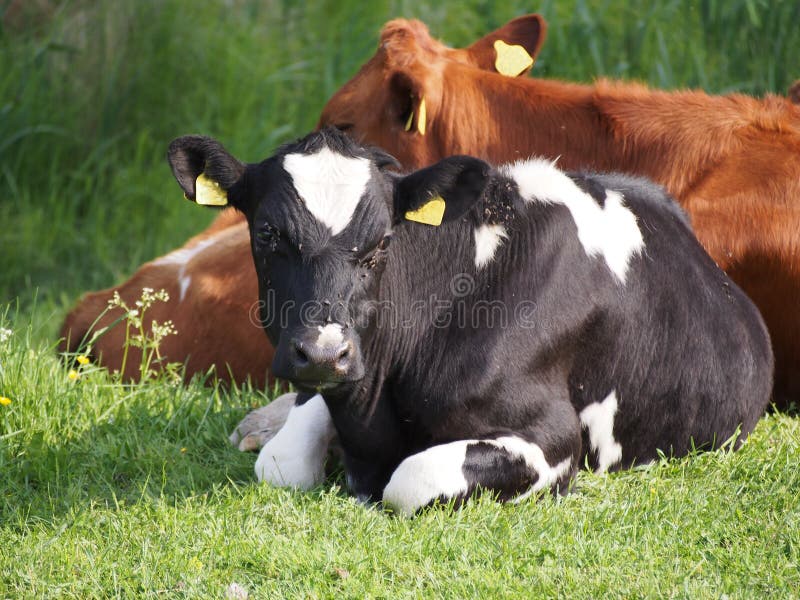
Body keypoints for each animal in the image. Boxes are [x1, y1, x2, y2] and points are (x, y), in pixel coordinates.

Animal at [167, 128, 773, 514]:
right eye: (268, 234)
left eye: (382, 242)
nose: (323, 352)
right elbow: (281, 463)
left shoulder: (552, 439)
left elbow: (410, 480)